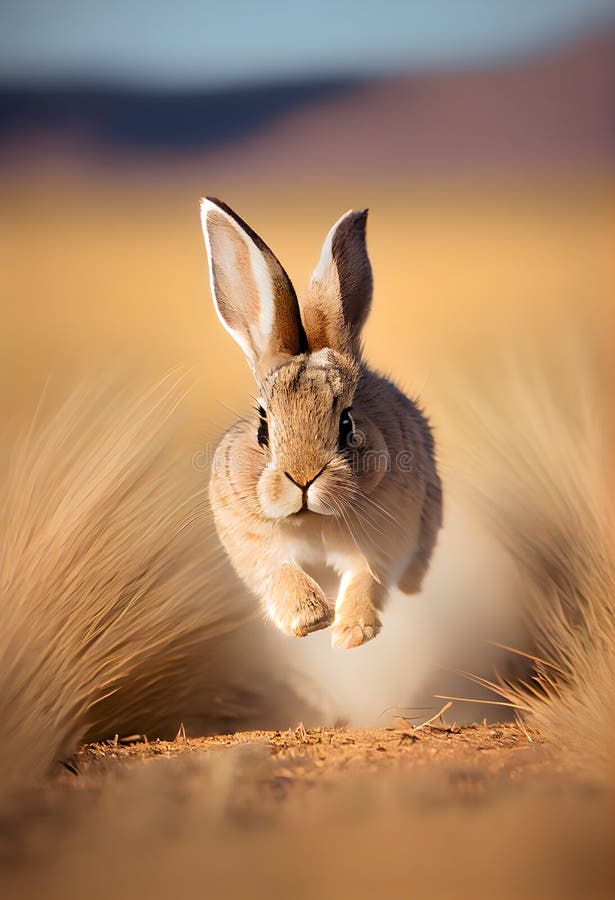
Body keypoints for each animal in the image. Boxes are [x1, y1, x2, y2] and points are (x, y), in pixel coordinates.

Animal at [200, 198, 442, 649]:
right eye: (262, 428)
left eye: (347, 423)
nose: (303, 478)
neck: (313, 521)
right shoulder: (252, 540)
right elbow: (279, 571)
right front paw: (311, 620)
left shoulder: (386, 542)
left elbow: (367, 578)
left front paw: (350, 633)